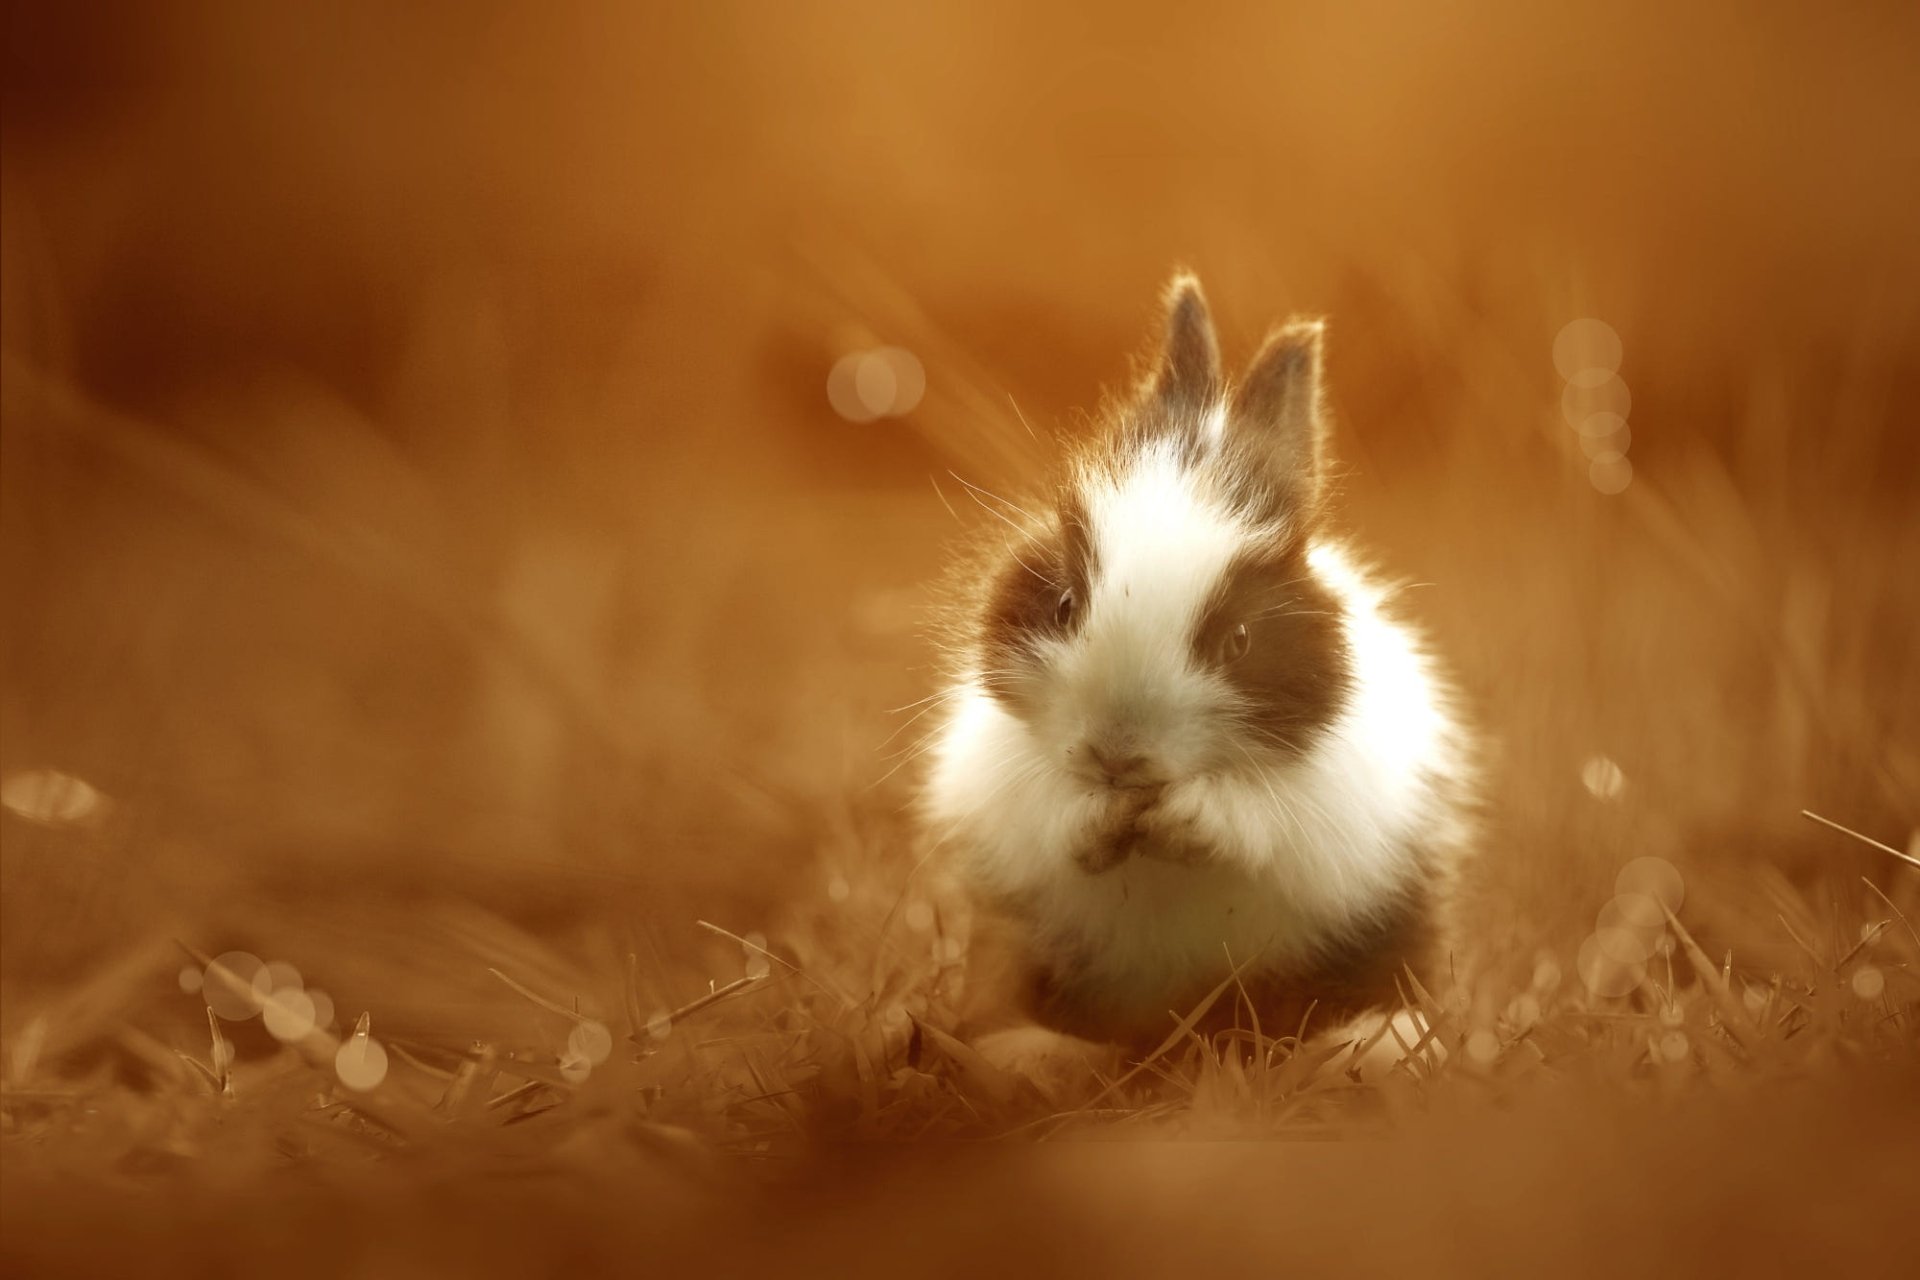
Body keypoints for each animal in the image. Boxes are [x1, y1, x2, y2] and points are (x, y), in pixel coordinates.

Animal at [919, 273, 1478, 1053]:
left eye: (1238, 641)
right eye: (1064, 604)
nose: (1116, 753)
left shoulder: (1320, 803)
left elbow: (1252, 821)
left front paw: (1185, 816)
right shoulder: (1002, 784)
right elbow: (1050, 817)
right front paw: (1097, 820)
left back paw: (1375, 1044)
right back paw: (1029, 1052)